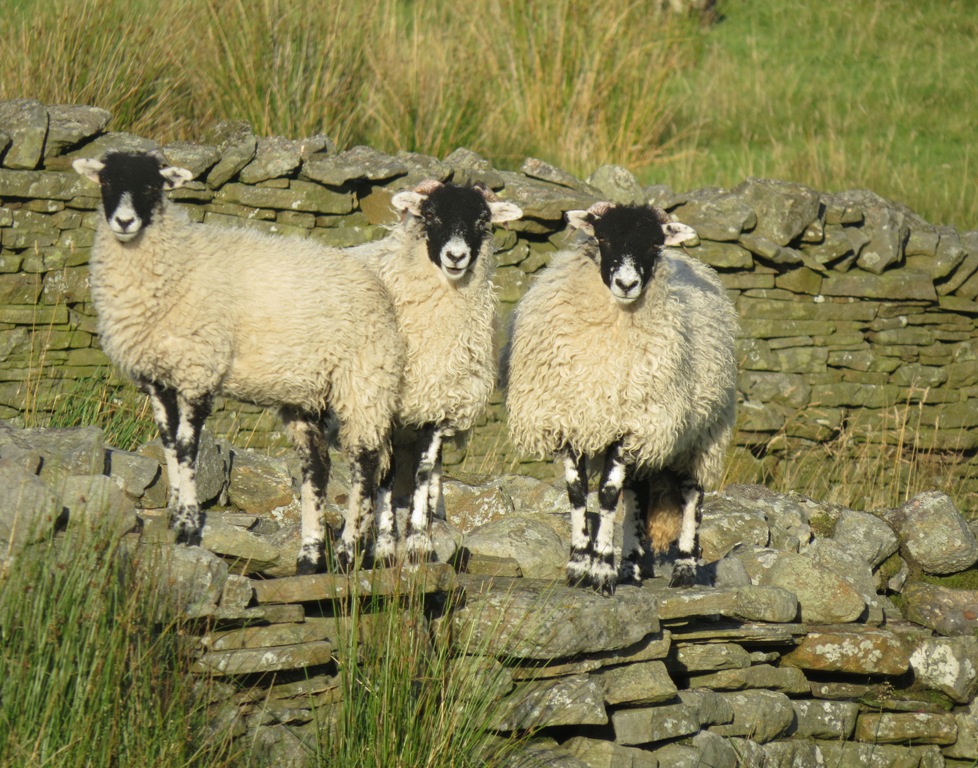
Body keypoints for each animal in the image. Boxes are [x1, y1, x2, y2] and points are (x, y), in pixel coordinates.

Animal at [72, 151, 404, 574]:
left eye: (152, 186)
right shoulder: (158, 376)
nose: (124, 222)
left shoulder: (199, 368)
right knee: (317, 467)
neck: (175, 260)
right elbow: (168, 443)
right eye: (106, 182)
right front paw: (175, 514)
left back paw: (347, 552)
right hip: (306, 393)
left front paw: (187, 525)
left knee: (365, 464)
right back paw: (310, 556)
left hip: (364, 379)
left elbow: (186, 447)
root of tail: (376, 283)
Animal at [348, 180, 522, 563]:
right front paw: (385, 546)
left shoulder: (439, 405)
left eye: (483, 220)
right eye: (430, 215)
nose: (456, 257)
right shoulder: (388, 408)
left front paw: (419, 542)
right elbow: (386, 476)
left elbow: (424, 472)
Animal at [504, 202, 737, 595]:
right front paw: (578, 565)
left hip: (702, 431)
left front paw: (601, 570)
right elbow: (578, 492)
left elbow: (608, 495)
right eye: (603, 238)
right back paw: (630, 564)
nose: (626, 284)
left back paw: (685, 567)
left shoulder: (628, 424)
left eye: (655, 244)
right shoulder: (569, 420)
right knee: (638, 492)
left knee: (692, 492)